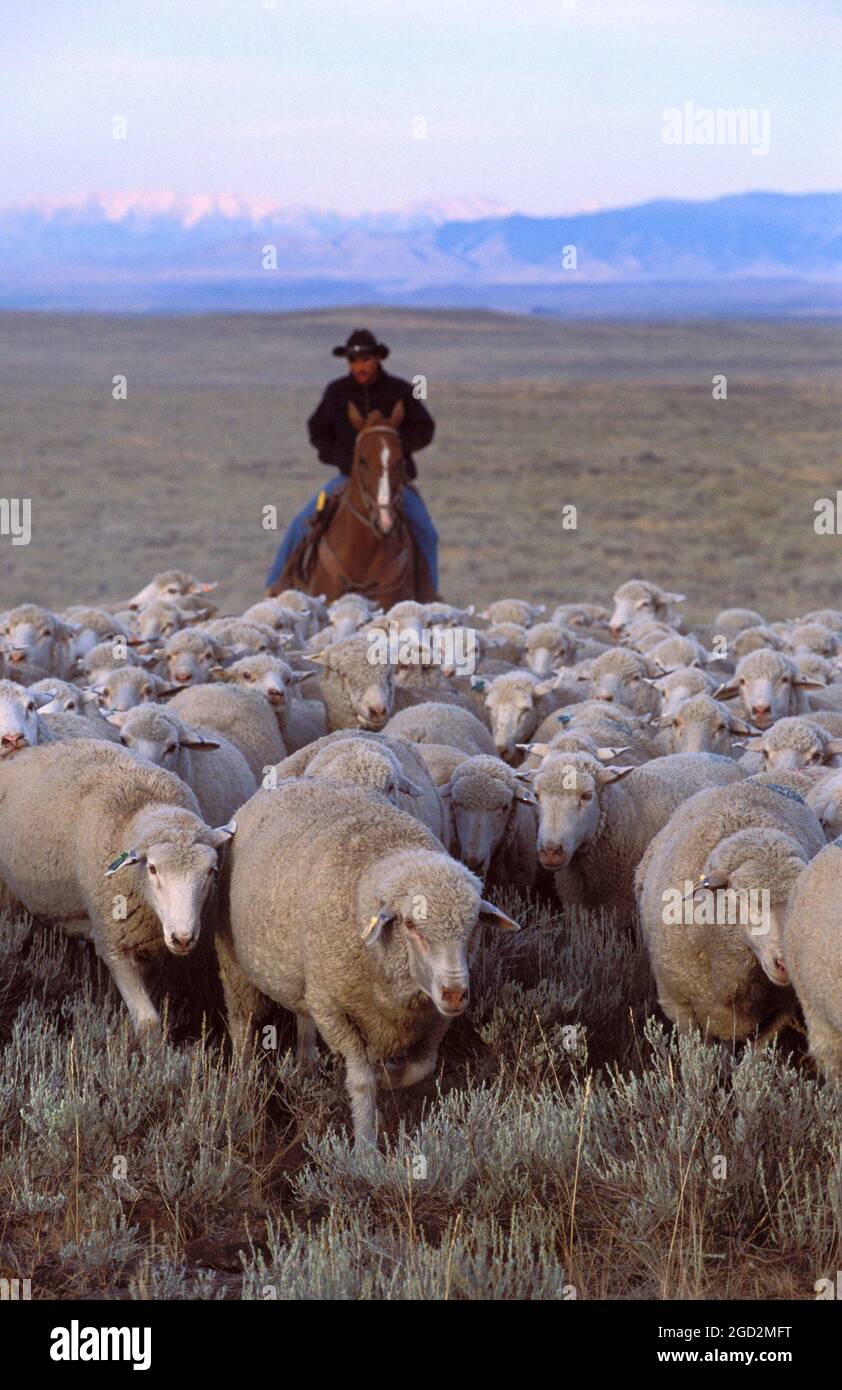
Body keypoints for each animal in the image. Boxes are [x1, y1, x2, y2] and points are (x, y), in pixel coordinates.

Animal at [0, 738, 235, 1041]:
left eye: (212, 871)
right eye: (153, 869)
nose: (182, 938)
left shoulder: (150, 946)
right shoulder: (113, 943)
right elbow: (148, 1023)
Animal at [216, 777, 518, 1147]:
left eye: (474, 925)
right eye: (411, 925)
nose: (455, 993)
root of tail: (285, 782)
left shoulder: (432, 1017)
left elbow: (421, 1067)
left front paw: (389, 1080)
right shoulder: (334, 1010)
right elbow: (361, 1081)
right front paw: (365, 1147)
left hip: (305, 976)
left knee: (302, 1017)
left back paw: (306, 1072)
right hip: (236, 965)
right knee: (243, 1024)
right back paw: (243, 1089)